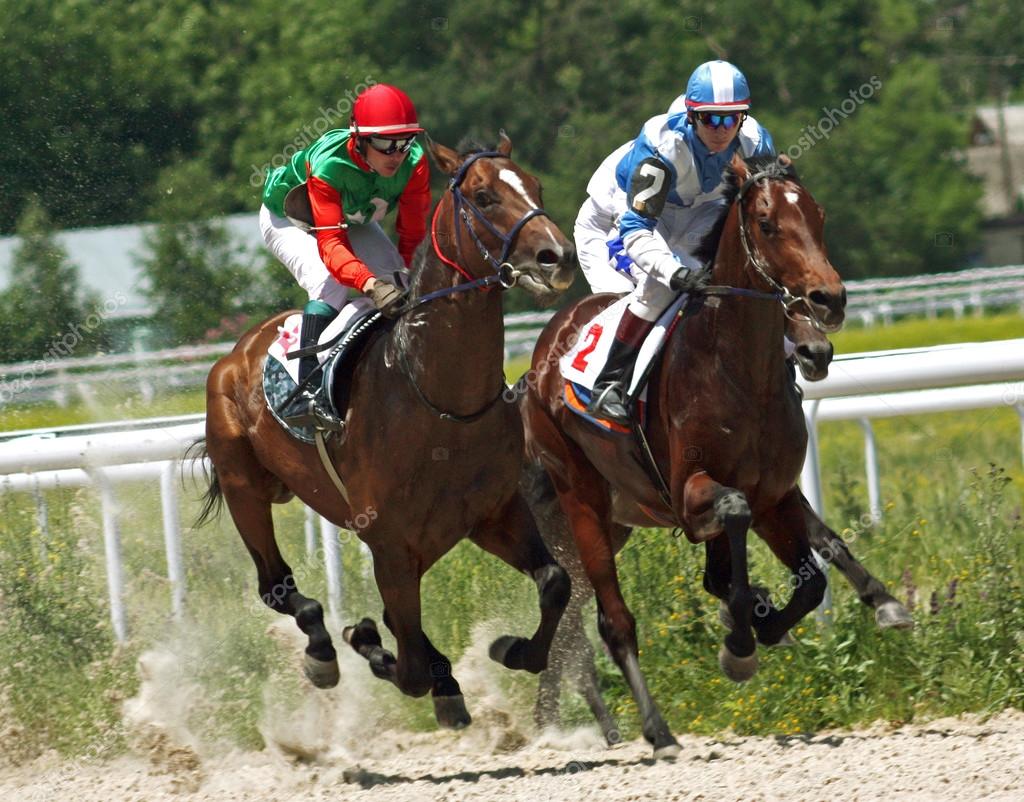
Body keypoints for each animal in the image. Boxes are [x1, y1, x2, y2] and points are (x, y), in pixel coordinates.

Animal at [192, 133, 577, 729]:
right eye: (484, 197)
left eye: (536, 186)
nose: (558, 256)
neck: (440, 401)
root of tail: (239, 351)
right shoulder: (391, 543)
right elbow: (410, 667)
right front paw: (368, 642)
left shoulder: (492, 514)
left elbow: (555, 583)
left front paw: (511, 649)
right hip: (244, 487)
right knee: (276, 587)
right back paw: (323, 649)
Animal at [520, 153, 852, 758]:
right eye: (767, 224)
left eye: (817, 214)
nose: (828, 300)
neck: (740, 372)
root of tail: (546, 349)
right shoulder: (689, 491)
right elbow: (734, 516)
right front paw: (740, 641)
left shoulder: (775, 495)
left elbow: (810, 579)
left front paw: (759, 625)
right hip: (579, 500)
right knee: (611, 620)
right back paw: (657, 729)